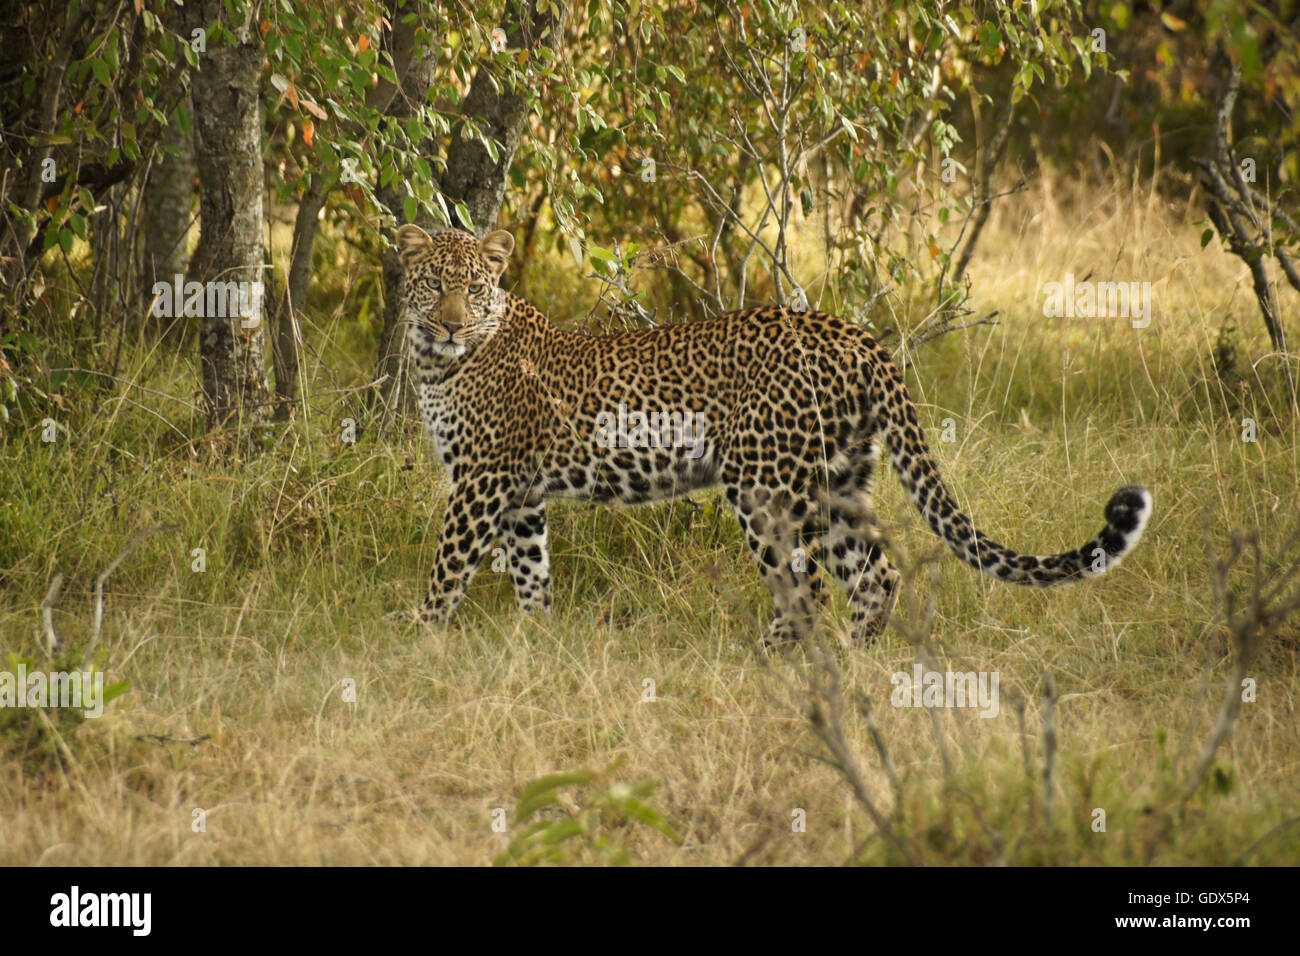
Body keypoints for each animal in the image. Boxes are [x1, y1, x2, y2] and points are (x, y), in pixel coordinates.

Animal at [387, 223, 1152, 647]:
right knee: (874, 571)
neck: (437, 362)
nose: (450, 323)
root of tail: (859, 336)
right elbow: (530, 568)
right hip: (840, 478)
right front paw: (537, 638)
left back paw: (777, 657)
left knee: (808, 585)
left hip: (764, 482)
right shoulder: (519, 492)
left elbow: (450, 563)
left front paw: (417, 634)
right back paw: (854, 656)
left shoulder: (482, 480)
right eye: (432, 285)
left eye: (473, 290)